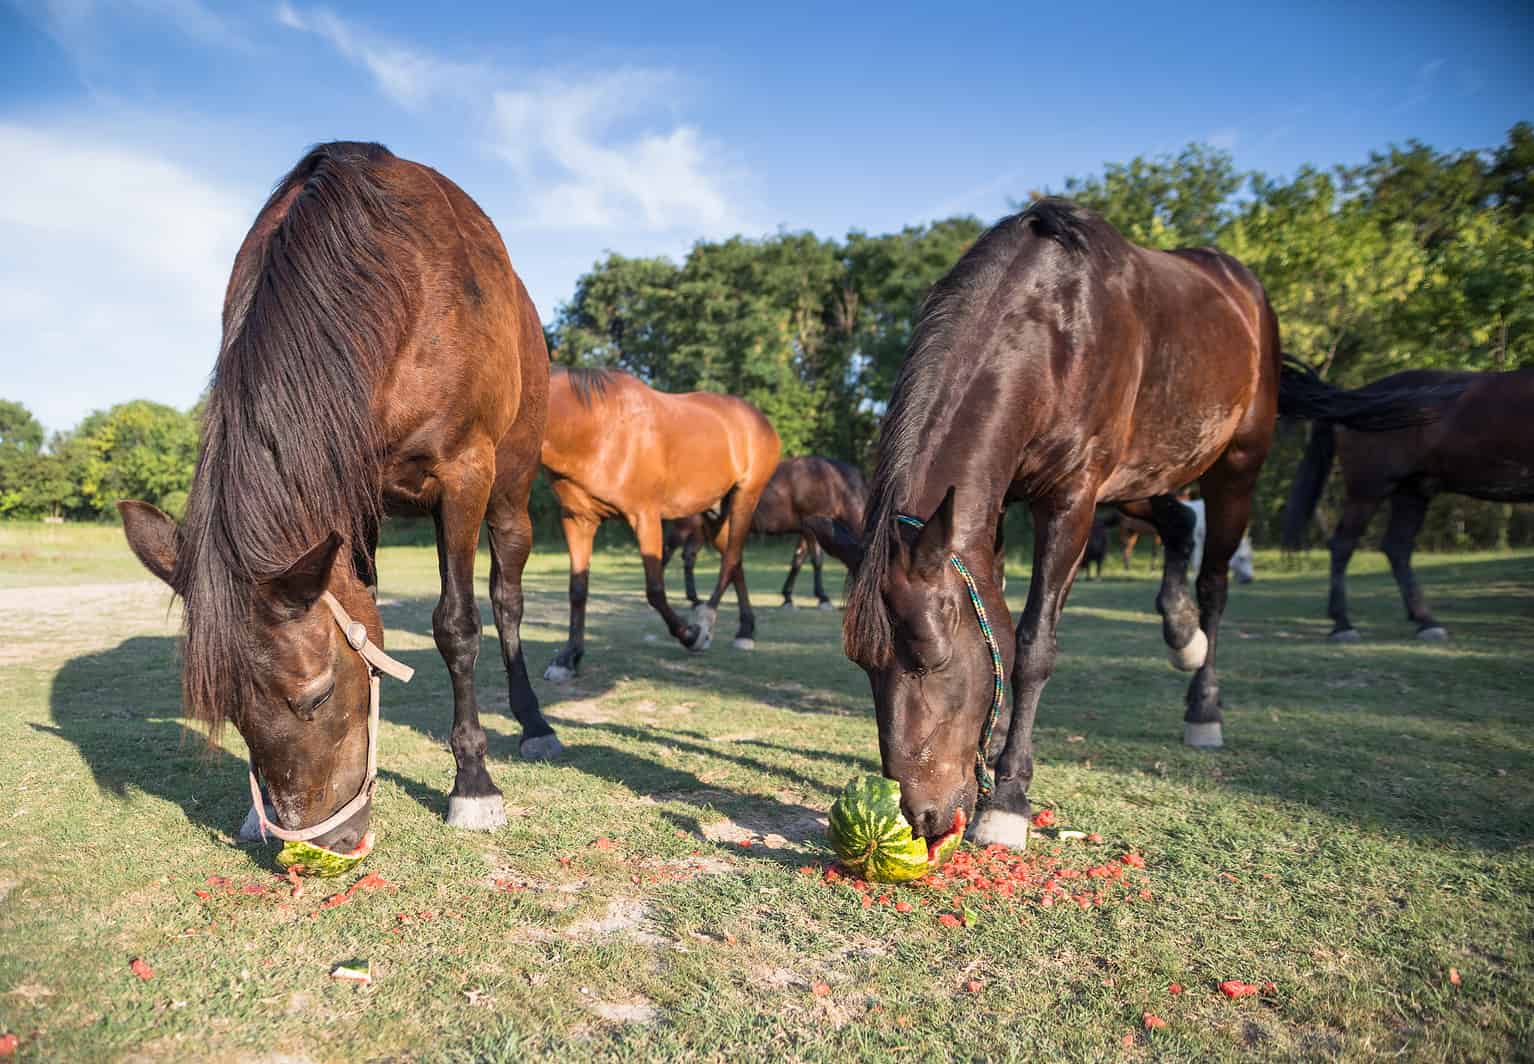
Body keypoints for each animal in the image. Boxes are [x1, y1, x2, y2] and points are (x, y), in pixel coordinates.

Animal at [118, 142, 556, 854]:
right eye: (230, 710)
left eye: (317, 697)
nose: (326, 841)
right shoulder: (350, 496)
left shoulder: (463, 474)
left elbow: (458, 625)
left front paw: (473, 785)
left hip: (509, 491)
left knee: (506, 600)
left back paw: (535, 723)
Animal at [540, 367, 781, 679]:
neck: (597, 427)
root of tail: (759, 419)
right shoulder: (578, 520)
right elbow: (578, 590)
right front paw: (568, 658)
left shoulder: (645, 517)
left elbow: (655, 590)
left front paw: (691, 635)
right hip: (714, 514)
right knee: (735, 560)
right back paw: (745, 630)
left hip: (746, 497)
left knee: (730, 561)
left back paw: (705, 624)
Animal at [809, 199, 1288, 853]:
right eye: (862, 664)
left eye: (931, 658)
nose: (921, 817)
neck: (1053, 330)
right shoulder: (991, 508)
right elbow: (999, 626)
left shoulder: (1072, 501)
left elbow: (1033, 645)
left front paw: (1007, 797)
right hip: (1142, 479)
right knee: (1177, 525)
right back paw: (1181, 632)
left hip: (1235, 469)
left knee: (1214, 578)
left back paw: (1203, 705)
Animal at [1279, 362, 1534, 641]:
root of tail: (1353, 400)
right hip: (1369, 491)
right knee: (1343, 545)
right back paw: (1343, 625)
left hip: (1412, 491)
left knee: (1397, 548)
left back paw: (1427, 622)